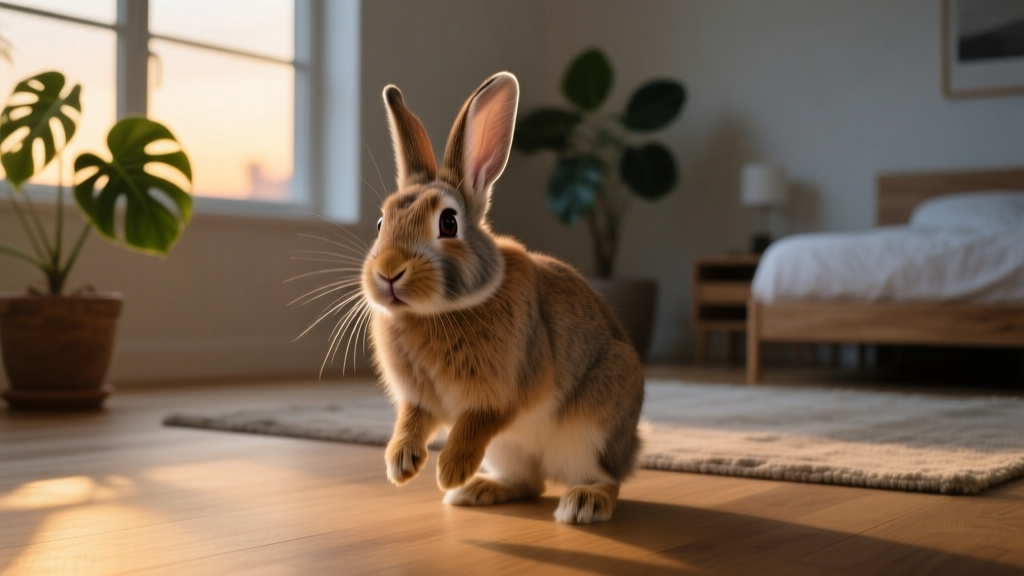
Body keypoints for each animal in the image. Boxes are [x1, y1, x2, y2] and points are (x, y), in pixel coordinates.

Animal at [362, 71, 645, 524]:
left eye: (448, 222)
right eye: (379, 222)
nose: (389, 272)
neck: (437, 312)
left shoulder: (506, 390)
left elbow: (478, 421)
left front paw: (449, 468)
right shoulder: (419, 398)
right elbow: (412, 419)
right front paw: (401, 465)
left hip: (594, 428)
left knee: (605, 478)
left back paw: (582, 503)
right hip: (509, 450)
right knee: (529, 483)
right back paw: (474, 491)